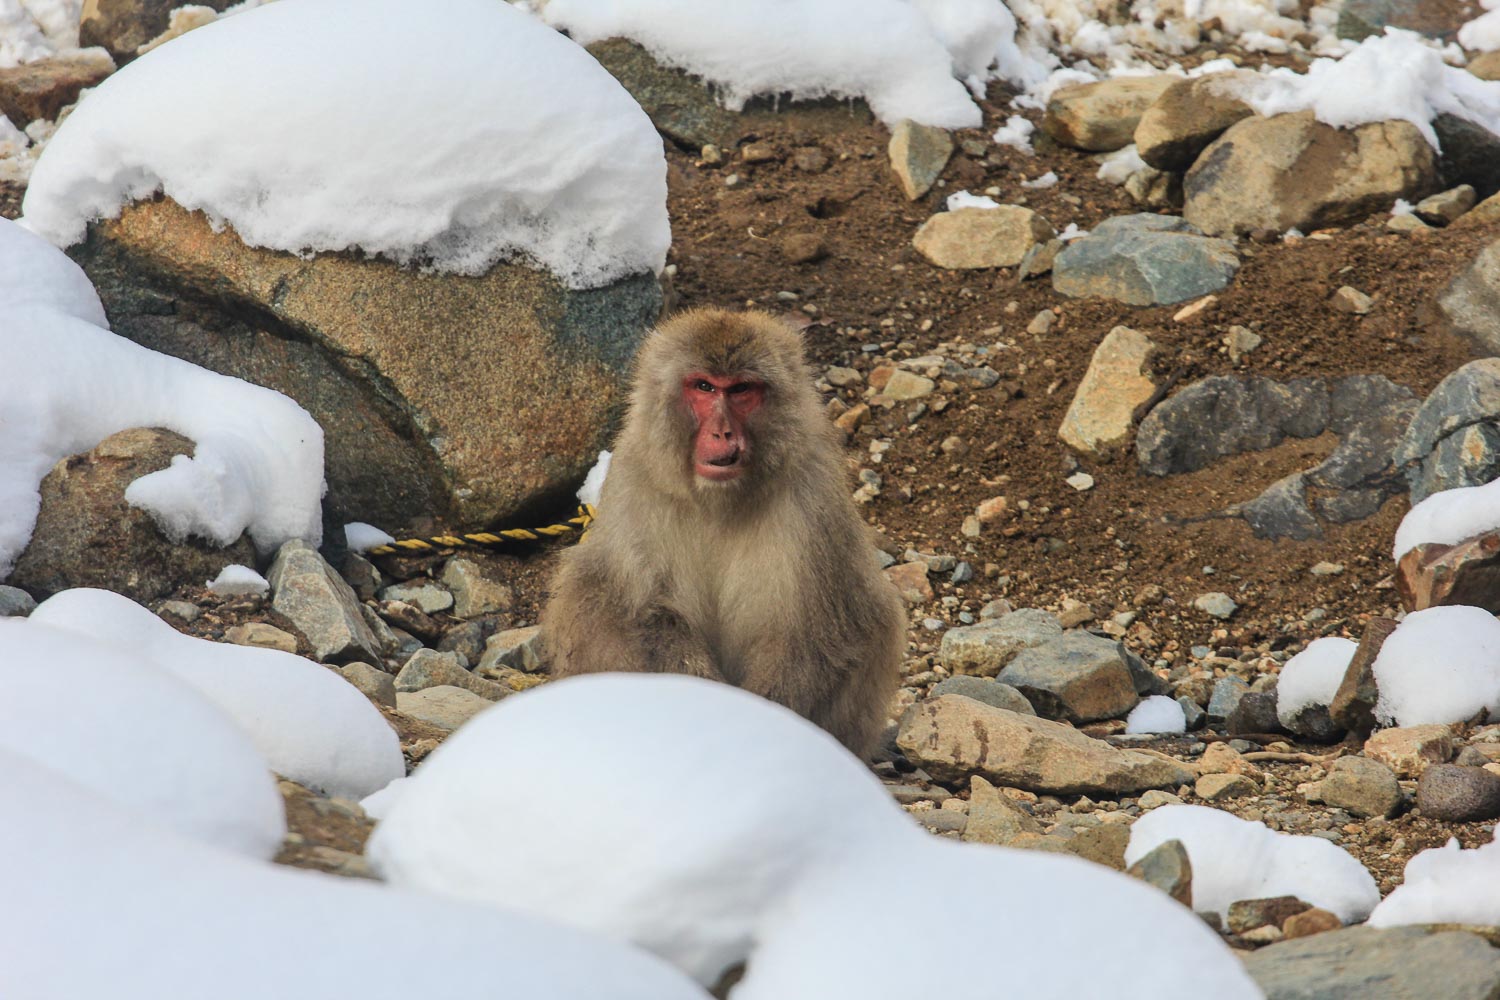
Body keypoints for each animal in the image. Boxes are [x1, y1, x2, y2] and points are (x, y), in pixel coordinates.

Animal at [540, 308, 905, 758]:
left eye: (741, 390)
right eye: (704, 386)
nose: (722, 433)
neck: (719, 500)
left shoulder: (813, 494)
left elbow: (821, 631)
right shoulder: (634, 477)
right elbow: (640, 610)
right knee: (590, 594)